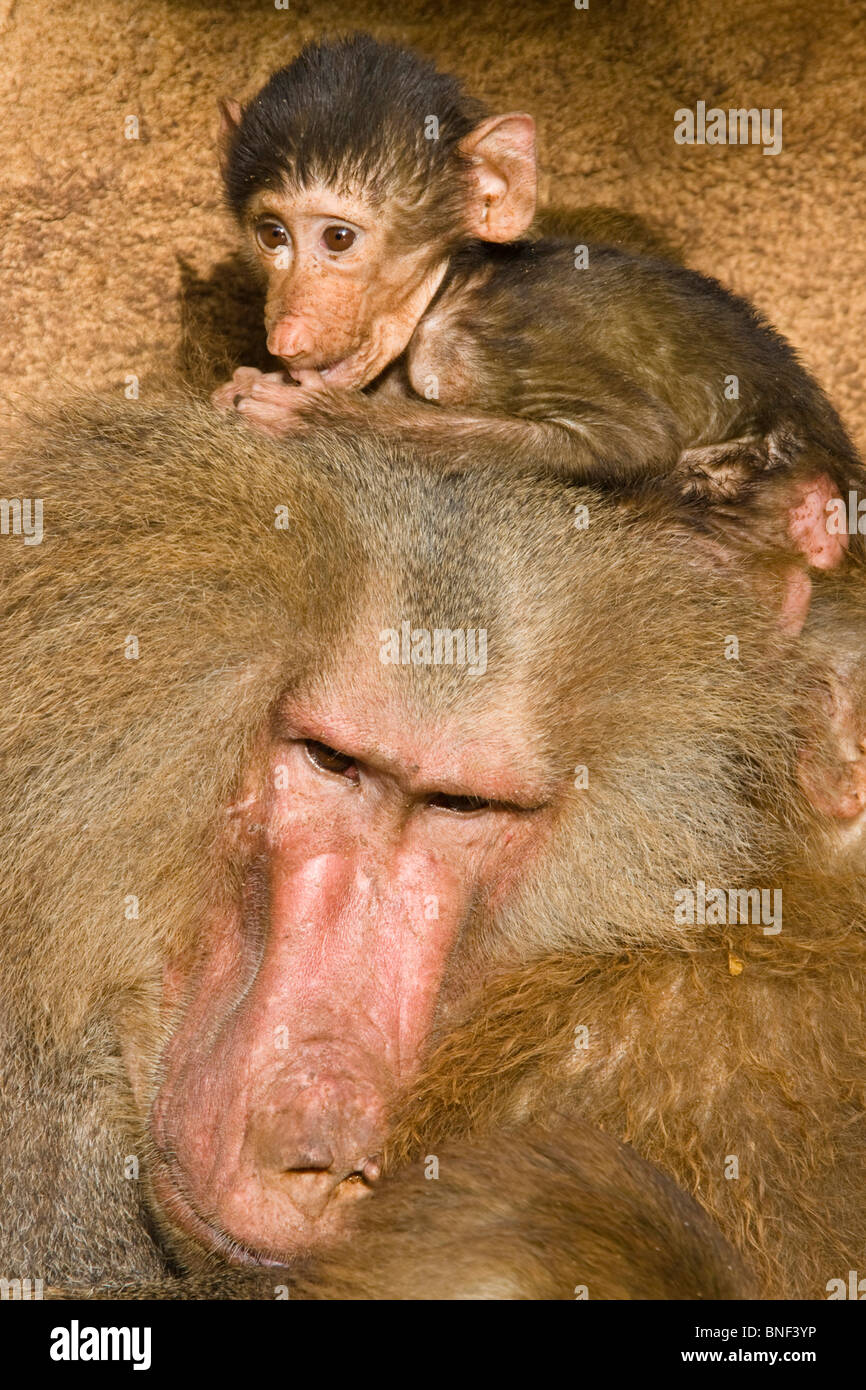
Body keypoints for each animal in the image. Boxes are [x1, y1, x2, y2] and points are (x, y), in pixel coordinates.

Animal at [212, 32, 864, 573]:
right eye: (273, 235)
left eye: (339, 239)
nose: (286, 335)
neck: (449, 287)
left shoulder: (479, 343)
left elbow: (636, 440)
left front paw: (308, 415)